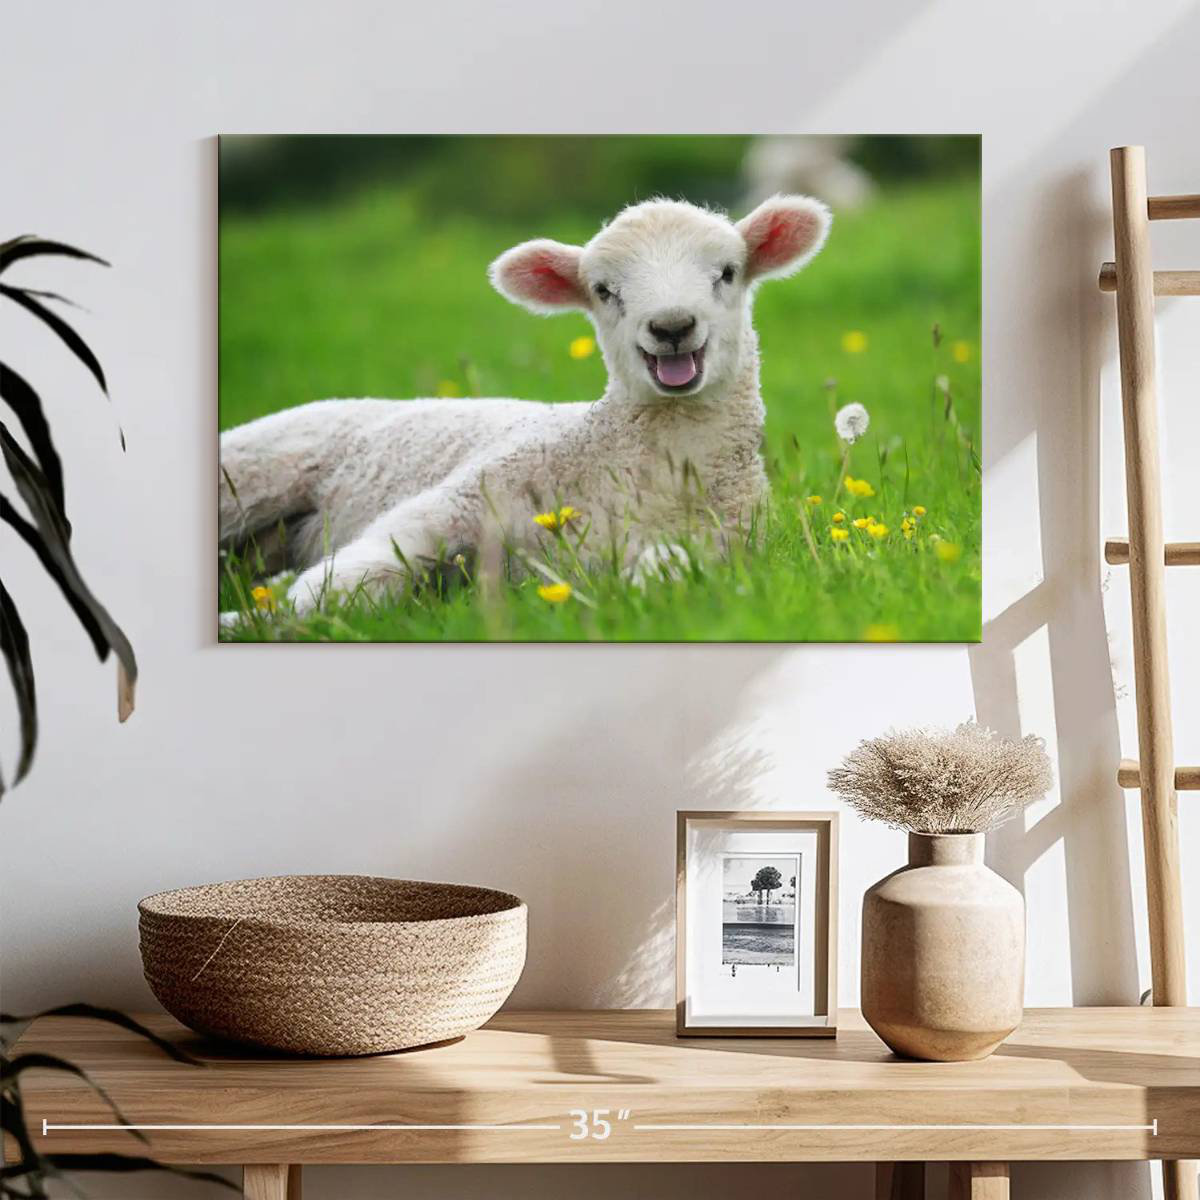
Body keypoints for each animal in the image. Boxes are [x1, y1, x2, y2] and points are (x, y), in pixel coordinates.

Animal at [219, 193, 831, 615]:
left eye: (727, 273)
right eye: (604, 290)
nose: (672, 327)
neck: (640, 467)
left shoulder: (727, 543)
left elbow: (669, 571)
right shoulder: (466, 495)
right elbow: (353, 576)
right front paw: (266, 618)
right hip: (251, 472)